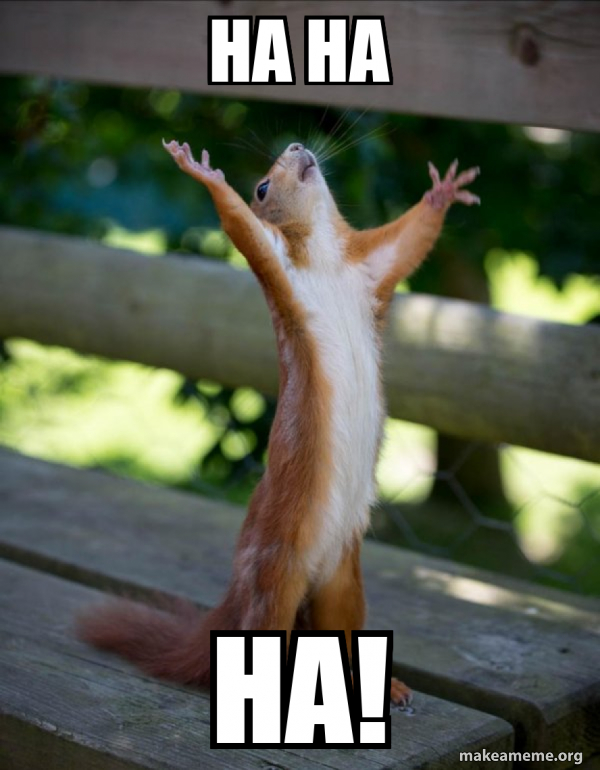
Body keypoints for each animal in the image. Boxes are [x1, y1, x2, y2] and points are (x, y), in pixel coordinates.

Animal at [77, 138, 480, 707]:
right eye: (262, 187)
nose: (296, 146)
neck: (328, 260)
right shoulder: (278, 265)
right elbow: (240, 226)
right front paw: (203, 173)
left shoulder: (372, 267)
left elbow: (410, 239)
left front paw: (443, 191)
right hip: (275, 577)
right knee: (268, 632)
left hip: (344, 586)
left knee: (344, 637)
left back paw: (385, 686)